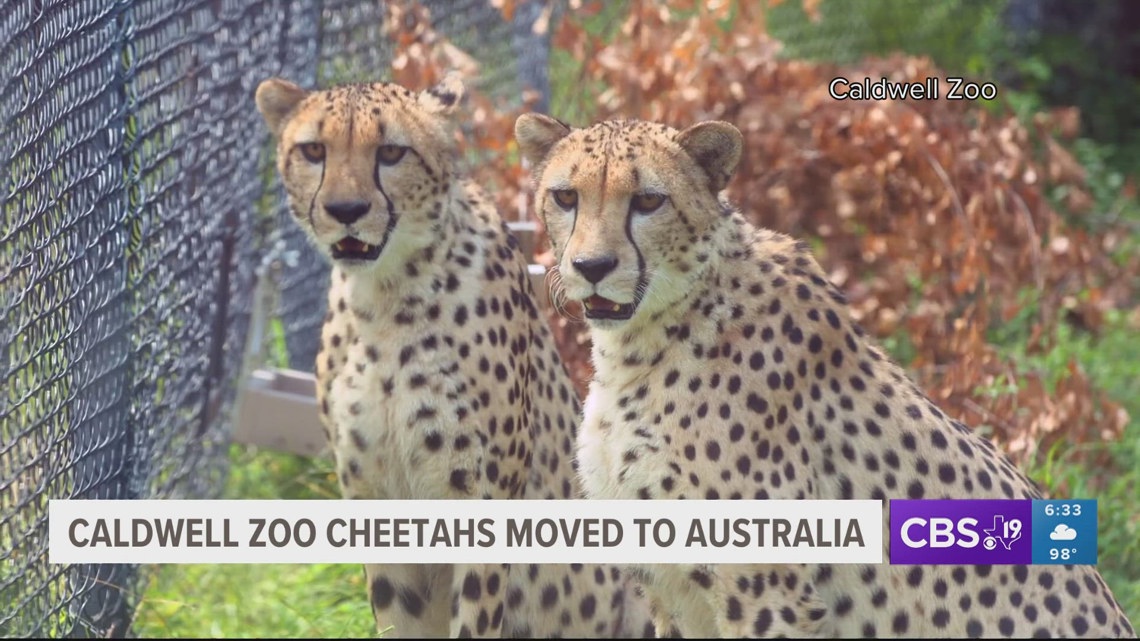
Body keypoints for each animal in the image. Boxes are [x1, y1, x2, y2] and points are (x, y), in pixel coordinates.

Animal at [254, 74, 654, 639]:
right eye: (313, 150)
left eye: (391, 152)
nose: (345, 211)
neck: (386, 299)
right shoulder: (374, 500)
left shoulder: (481, 502)